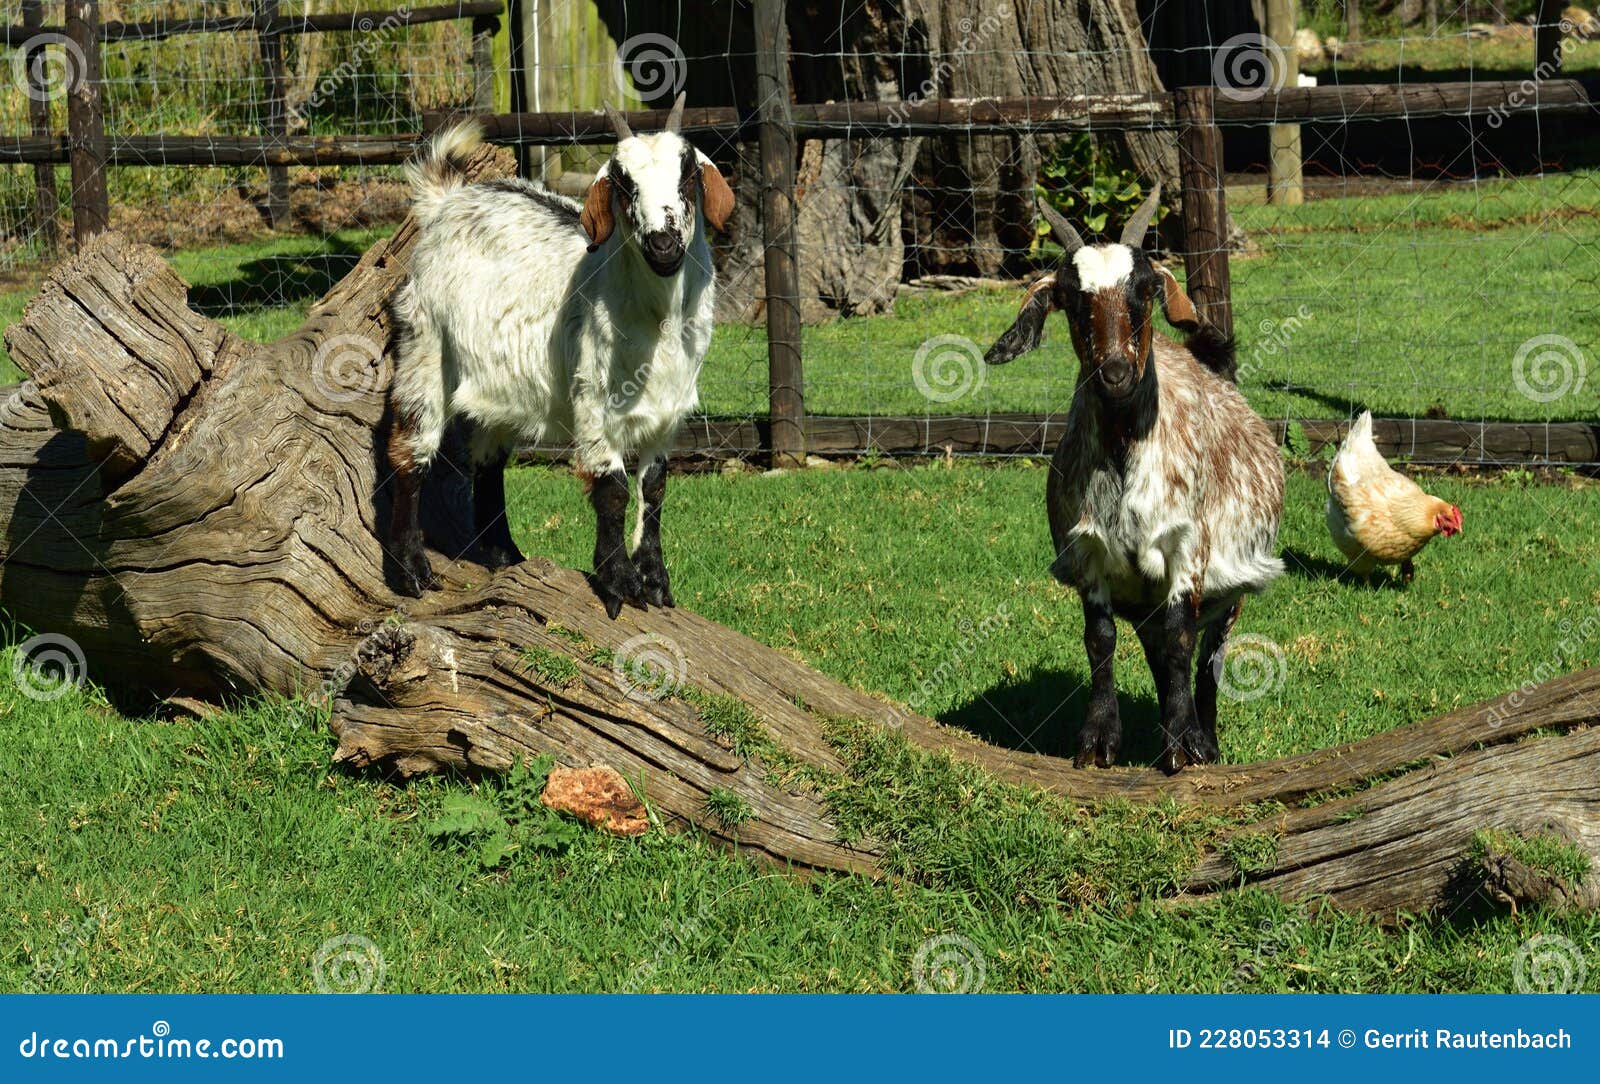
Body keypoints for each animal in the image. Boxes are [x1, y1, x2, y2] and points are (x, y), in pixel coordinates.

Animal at [385, 94, 734, 617]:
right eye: (623, 182)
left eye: (688, 174)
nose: (662, 243)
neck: (659, 323)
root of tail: (446, 200)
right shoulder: (594, 398)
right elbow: (612, 488)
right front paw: (619, 583)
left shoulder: (668, 413)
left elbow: (654, 486)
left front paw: (656, 580)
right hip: (424, 346)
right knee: (412, 451)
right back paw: (410, 570)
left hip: (497, 386)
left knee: (488, 462)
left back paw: (505, 555)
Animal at [984, 187, 1284, 773]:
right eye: (1071, 299)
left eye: (1145, 290)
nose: (1116, 373)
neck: (1125, 461)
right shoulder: (1088, 556)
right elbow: (1100, 640)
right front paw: (1100, 739)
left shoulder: (1187, 552)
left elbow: (1182, 643)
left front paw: (1186, 744)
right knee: (1161, 658)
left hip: (1231, 594)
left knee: (1207, 661)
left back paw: (1203, 736)